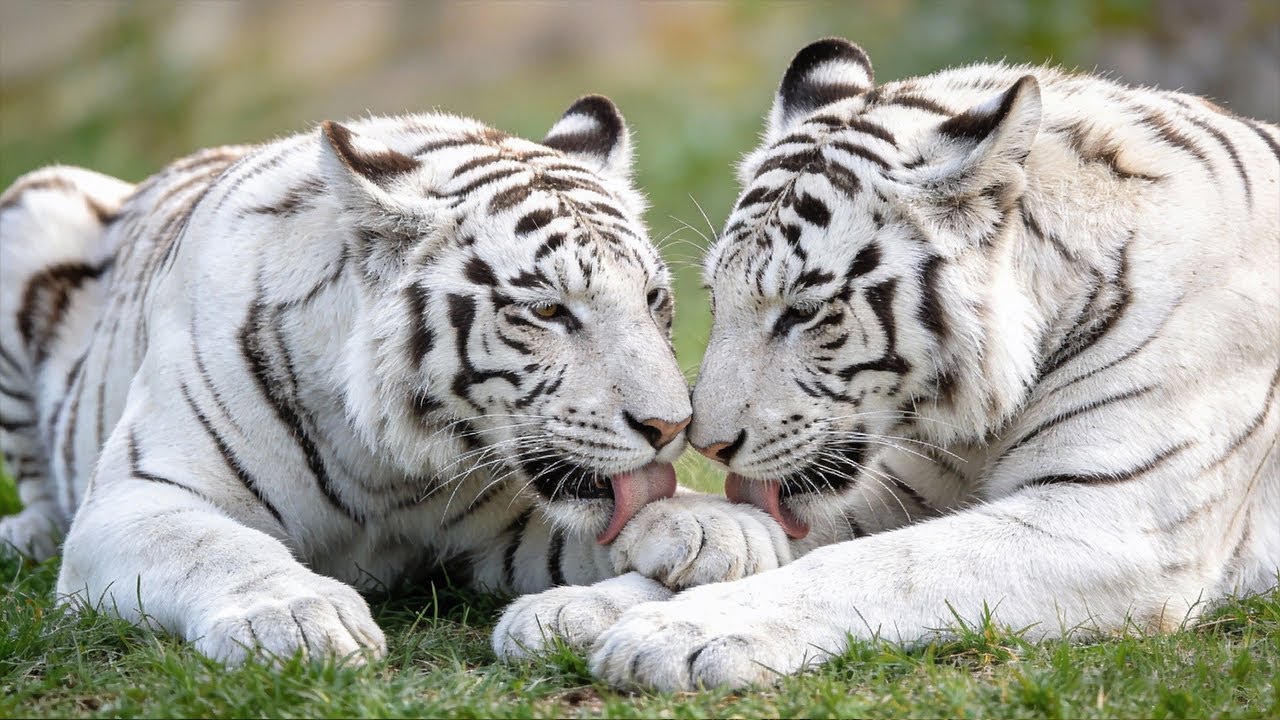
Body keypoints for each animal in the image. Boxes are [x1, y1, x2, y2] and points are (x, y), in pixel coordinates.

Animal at [0, 95, 788, 664]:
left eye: (653, 299)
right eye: (548, 309)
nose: (672, 426)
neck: (385, 462)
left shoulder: (500, 530)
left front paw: (711, 522)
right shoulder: (138, 497)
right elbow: (218, 548)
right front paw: (300, 618)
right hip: (36, 204)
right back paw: (27, 535)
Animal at [498, 38, 1280, 690]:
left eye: (804, 311)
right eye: (716, 298)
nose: (707, 444)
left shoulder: (1113, 516)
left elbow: (879, 564)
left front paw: (674, 632)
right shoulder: (909, 484)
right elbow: (805, 539)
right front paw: (573, 607)